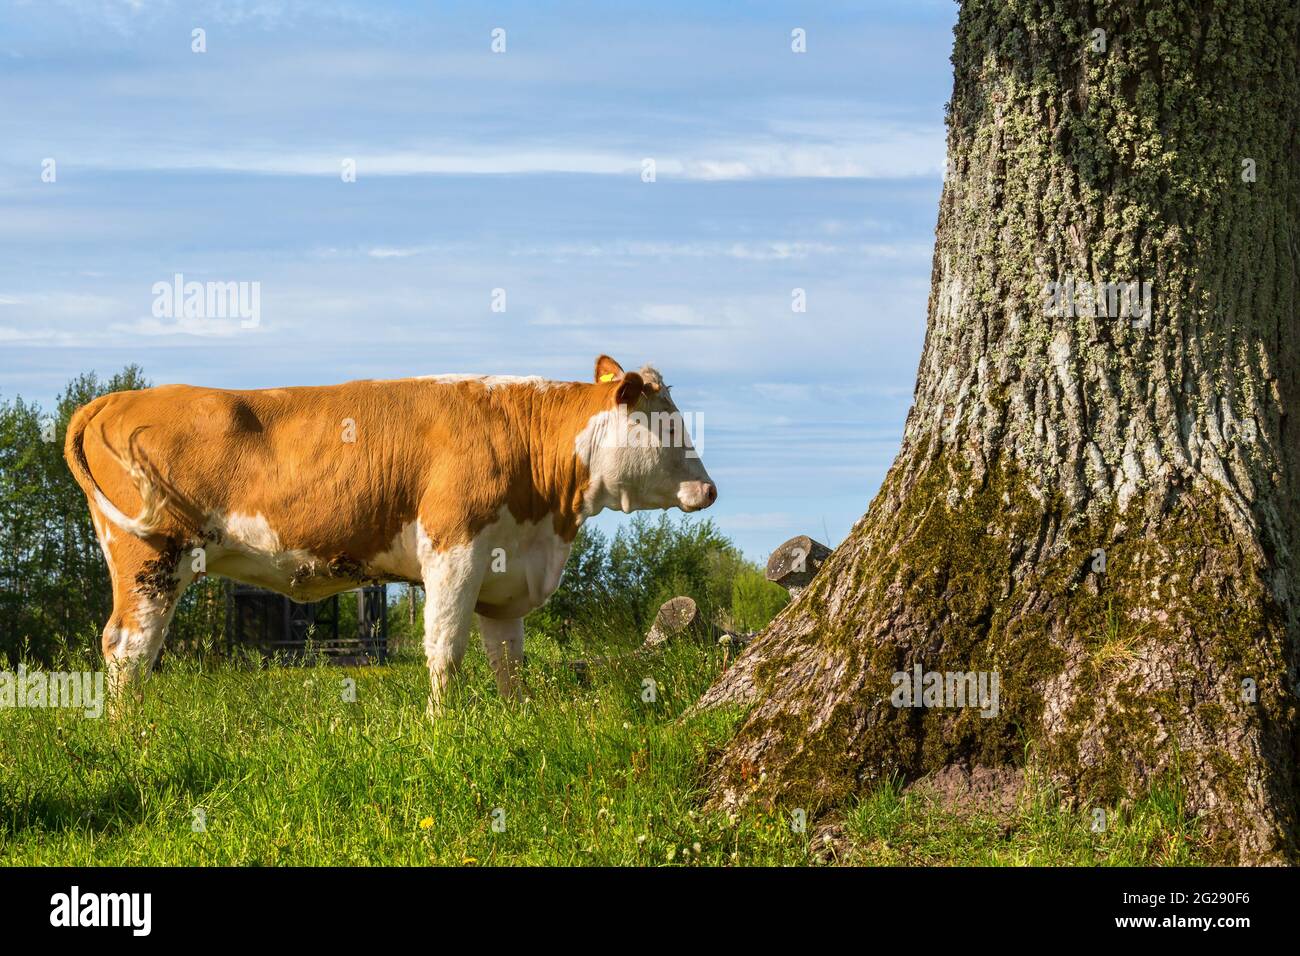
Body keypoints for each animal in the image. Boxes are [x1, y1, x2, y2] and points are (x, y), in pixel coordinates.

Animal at [64, 355, 716, 708]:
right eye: (667, 425)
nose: (709, 490)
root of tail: (116, 399)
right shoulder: (455, 551)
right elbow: (445, 650)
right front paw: (441, 727)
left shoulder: (507, 571)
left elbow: (508, 658)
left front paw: (517, 717)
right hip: (148, 557)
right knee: (128, 647)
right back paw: (130, 735)